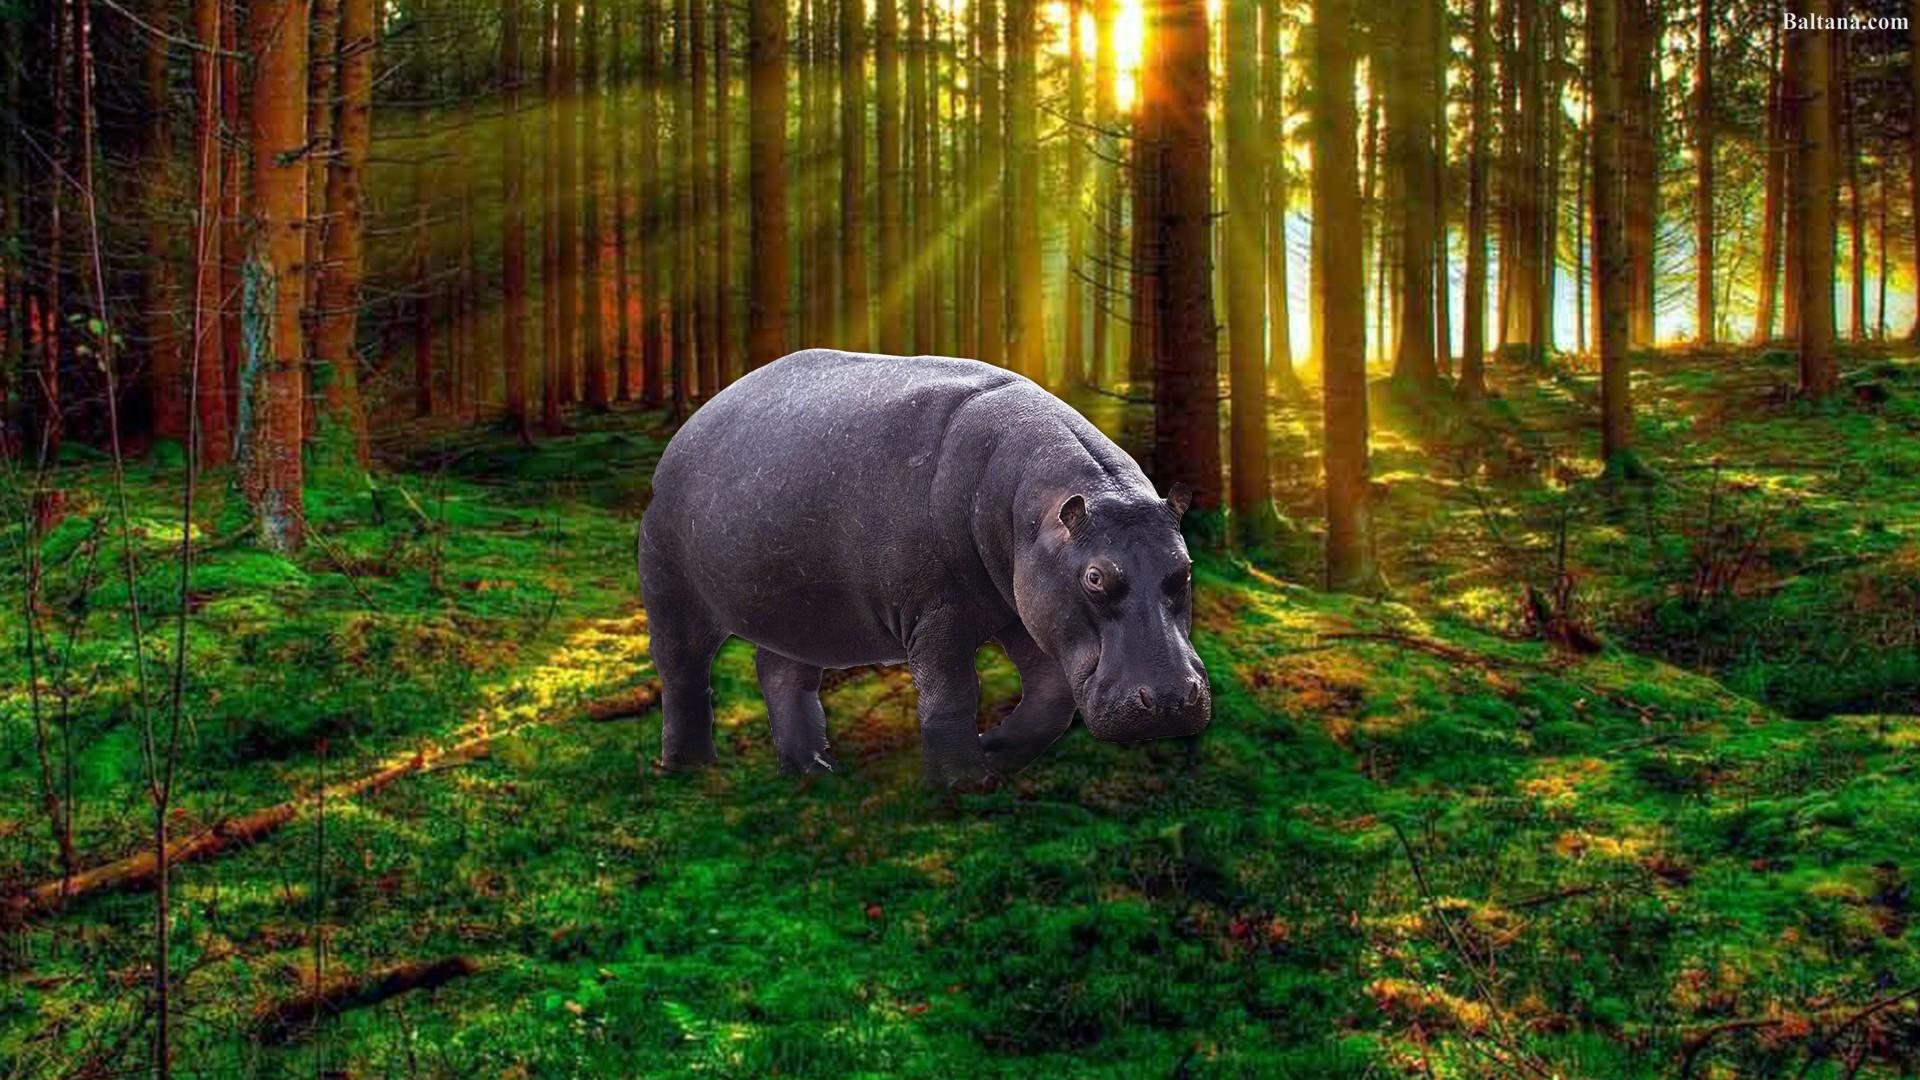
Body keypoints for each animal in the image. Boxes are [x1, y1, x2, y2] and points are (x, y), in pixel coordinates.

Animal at [637, 349, 1211, 787]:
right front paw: (958, 784)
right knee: (683, 673)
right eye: (1094, 577)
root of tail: (691, 424)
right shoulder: (935, 615)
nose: (1168, 699)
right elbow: (952, 695)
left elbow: (1051, 696)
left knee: (781, 674)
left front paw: (995, 751)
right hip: (672, 588)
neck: (1035, 509)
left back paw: (813, 769)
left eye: (1184, 568)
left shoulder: (1023, 609)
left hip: (798, 609)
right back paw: (689, 768)